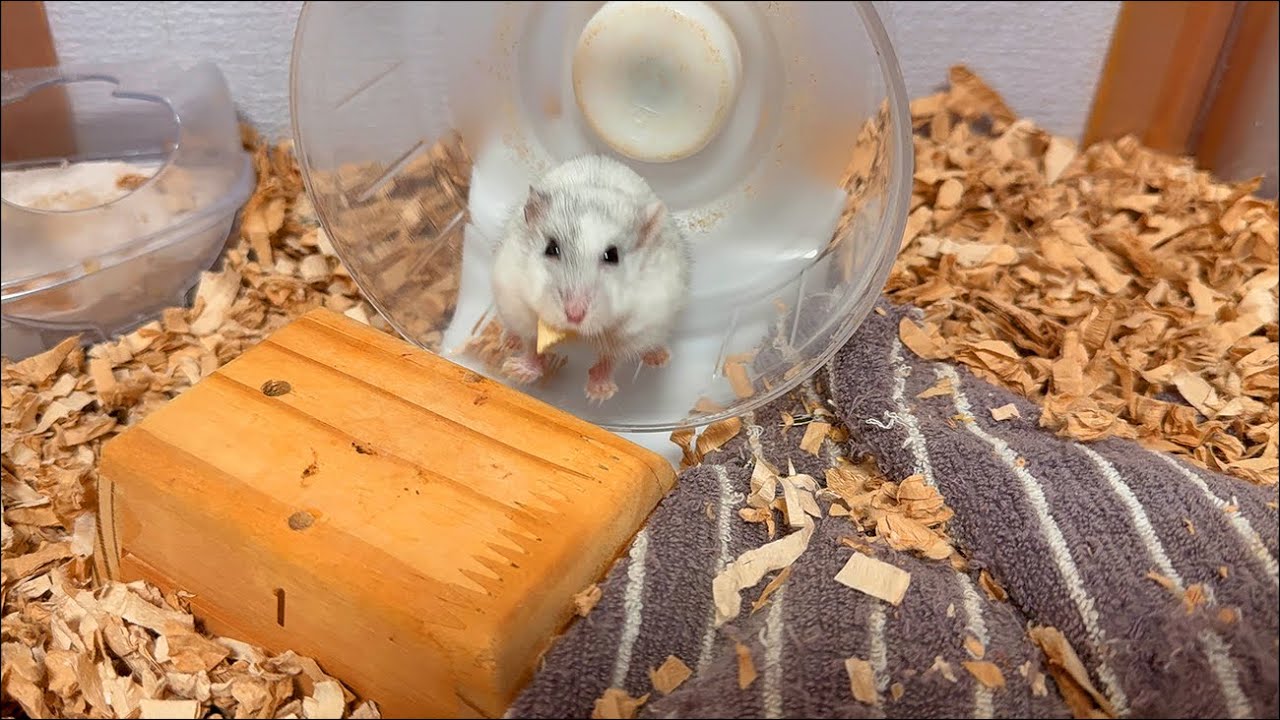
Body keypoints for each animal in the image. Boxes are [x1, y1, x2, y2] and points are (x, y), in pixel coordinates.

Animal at [491, 154, 692, 402]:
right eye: (551, 248)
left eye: (612, 255)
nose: (574, 316)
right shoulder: (517, 304)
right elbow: (531, 345)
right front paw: (516, 372)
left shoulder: (637, 328)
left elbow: (610, 359)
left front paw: (598, 395)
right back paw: (508, 341)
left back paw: (659, 357)